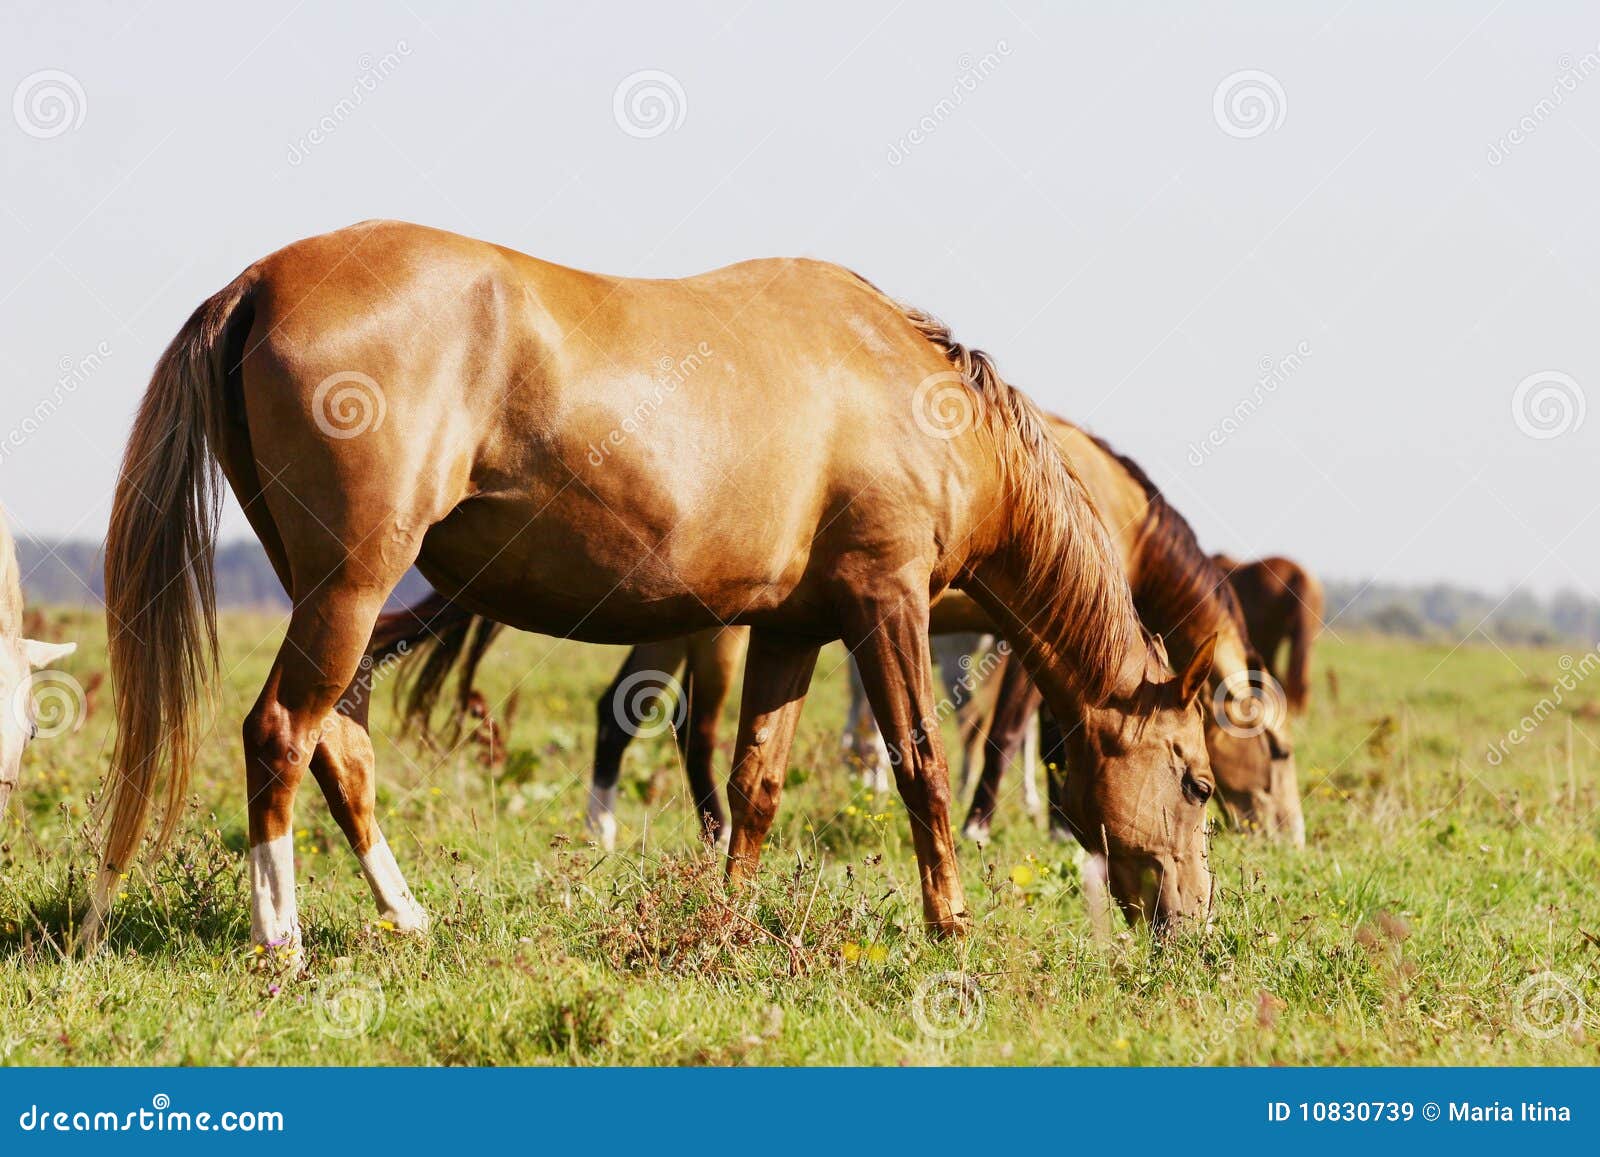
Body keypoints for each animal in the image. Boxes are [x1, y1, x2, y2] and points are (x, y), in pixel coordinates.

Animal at [93, 220, 1217, 953]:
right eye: (1200, 780)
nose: (1194, 924)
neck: (917, 396)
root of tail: (259, 281)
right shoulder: (885, 603)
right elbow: (921, 764)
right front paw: (949, 922)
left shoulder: (792, 629)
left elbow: (756, 784)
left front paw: (728, 917)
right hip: (350, 586)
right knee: (283, 730)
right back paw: (281, 937)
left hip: (334, 594)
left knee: (342, 737)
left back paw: (403, 913)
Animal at [959, 420, 1303, 846]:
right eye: (1279, 751)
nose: (1295, 839)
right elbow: (1008, 732)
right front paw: (977, 826)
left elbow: (1057, 741)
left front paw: (1062, 827)